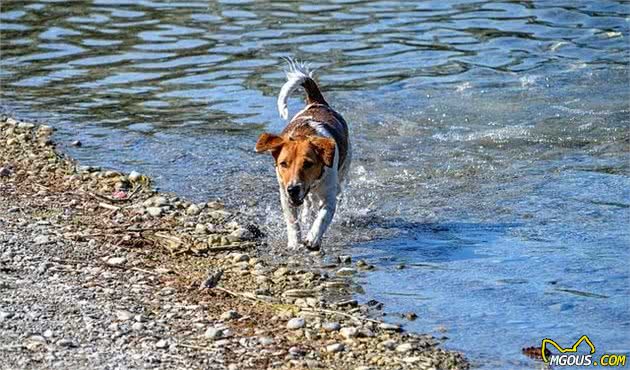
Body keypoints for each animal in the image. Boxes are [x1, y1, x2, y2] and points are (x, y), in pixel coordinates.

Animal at [258, 59, 356, 251]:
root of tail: (317, 103)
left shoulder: (328, 196)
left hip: (343, 172)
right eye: (283, 164)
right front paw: (294, 242)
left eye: (308, 163)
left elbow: (323, 217)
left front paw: (312, 238)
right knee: (308, 203)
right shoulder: (285, 195)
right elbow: (292, 222)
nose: (293, 189)